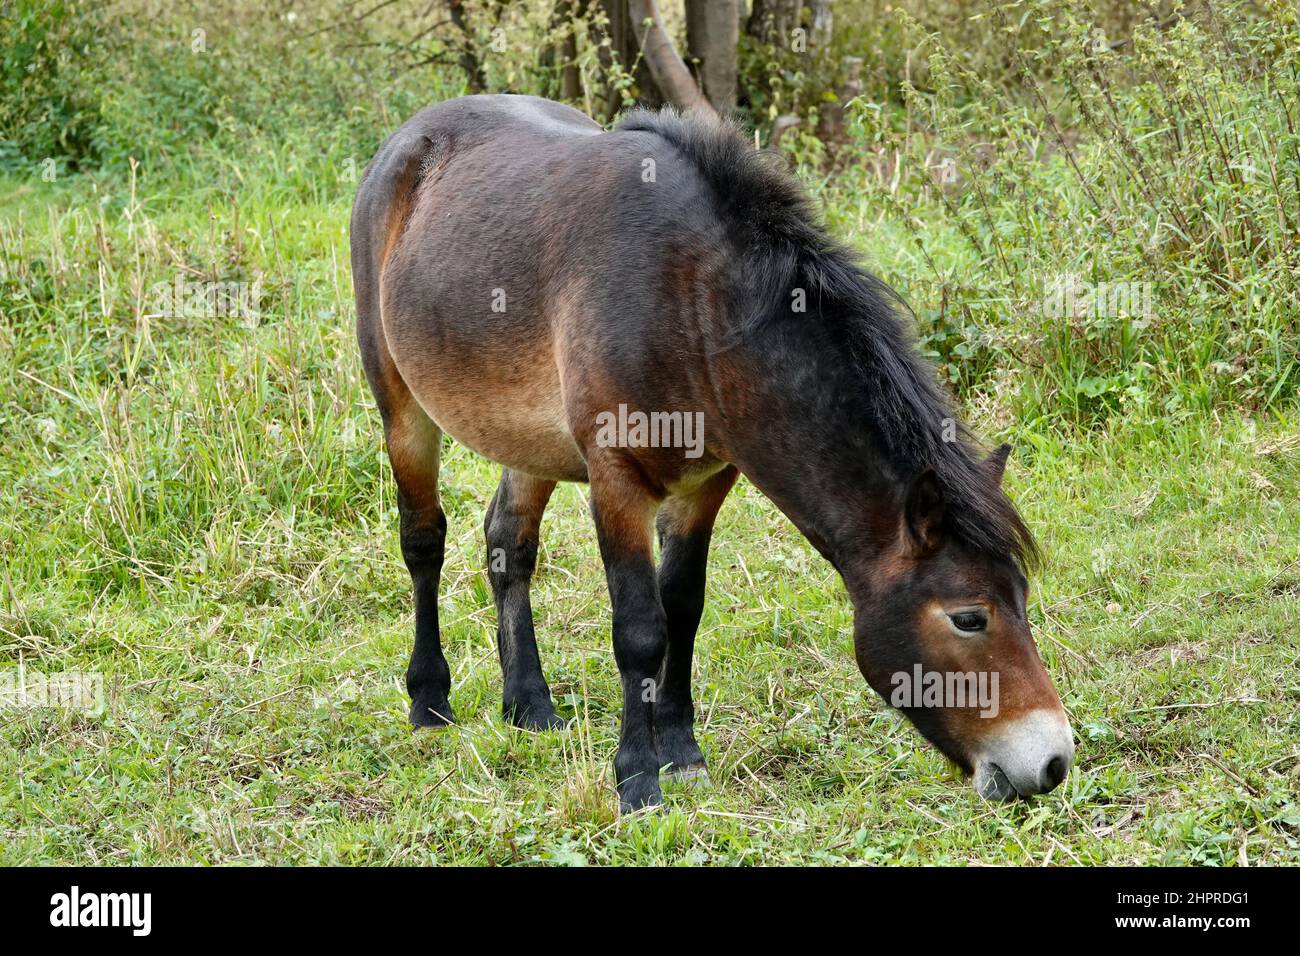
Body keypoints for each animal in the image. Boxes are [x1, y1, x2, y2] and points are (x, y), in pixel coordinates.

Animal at [350, 94, 1074, 811]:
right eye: (968, 618)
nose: (1052, 762)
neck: (693, 302)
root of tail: (408, 140)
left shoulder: (706, 483)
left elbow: (683, 609)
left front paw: (682, 753)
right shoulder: (617, 482)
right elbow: (639, 629)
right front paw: (637, 780)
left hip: (527, 442)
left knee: (509, 544)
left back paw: (529, 705)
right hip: (402, 410)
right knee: (424, 542)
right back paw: (430, 703)